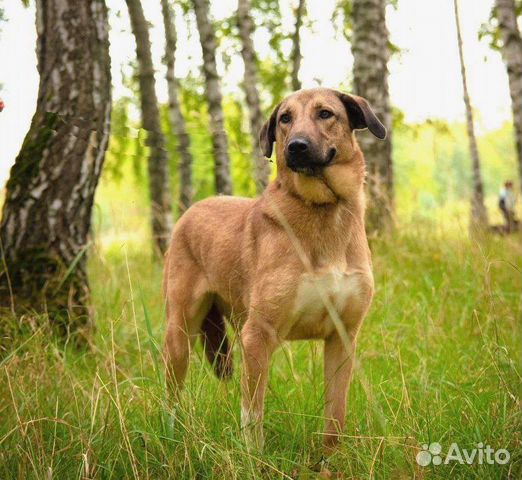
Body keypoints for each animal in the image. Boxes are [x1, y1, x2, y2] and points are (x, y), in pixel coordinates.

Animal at [164, 88, 386, 452]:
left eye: (325, 113)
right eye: (285, 118)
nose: (296, 146)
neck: (322, 209)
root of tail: (193, 208)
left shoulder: (342, 337)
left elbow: (335, 417)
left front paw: (329, 460)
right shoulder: (258, 334)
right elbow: (252, 416)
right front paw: (254, 457)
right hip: (179, 332)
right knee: (172, 393)